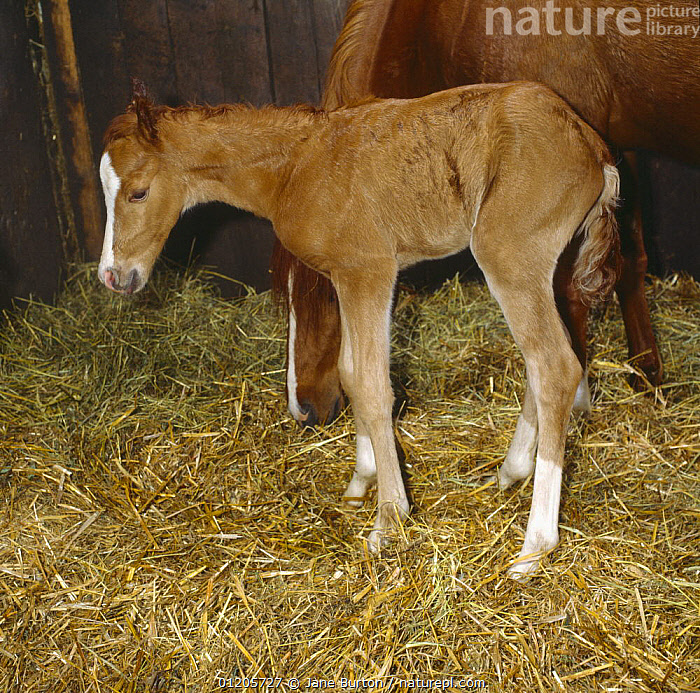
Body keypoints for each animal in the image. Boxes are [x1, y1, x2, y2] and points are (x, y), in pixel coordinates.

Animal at [98, 80, 620, 577]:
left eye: (138, 191)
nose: (112, 275)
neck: (296, 167)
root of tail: (590, 142)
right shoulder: (346, 277)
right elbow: (350, 374)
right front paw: (361, 481)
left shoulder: (367, 271)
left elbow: (372, 387)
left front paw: (389, 519)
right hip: (542, 267)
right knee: (551, 357)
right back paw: (512, 472)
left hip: (508, 254)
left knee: (554, 366)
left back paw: (534, 547)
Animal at [275, 0, 700, 428]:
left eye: (329, 290)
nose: (303, 408)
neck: (441, 16)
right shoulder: (617, 149)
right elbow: (630, 262)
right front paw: (645, 372)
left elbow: (568, 293)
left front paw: (575, 403)